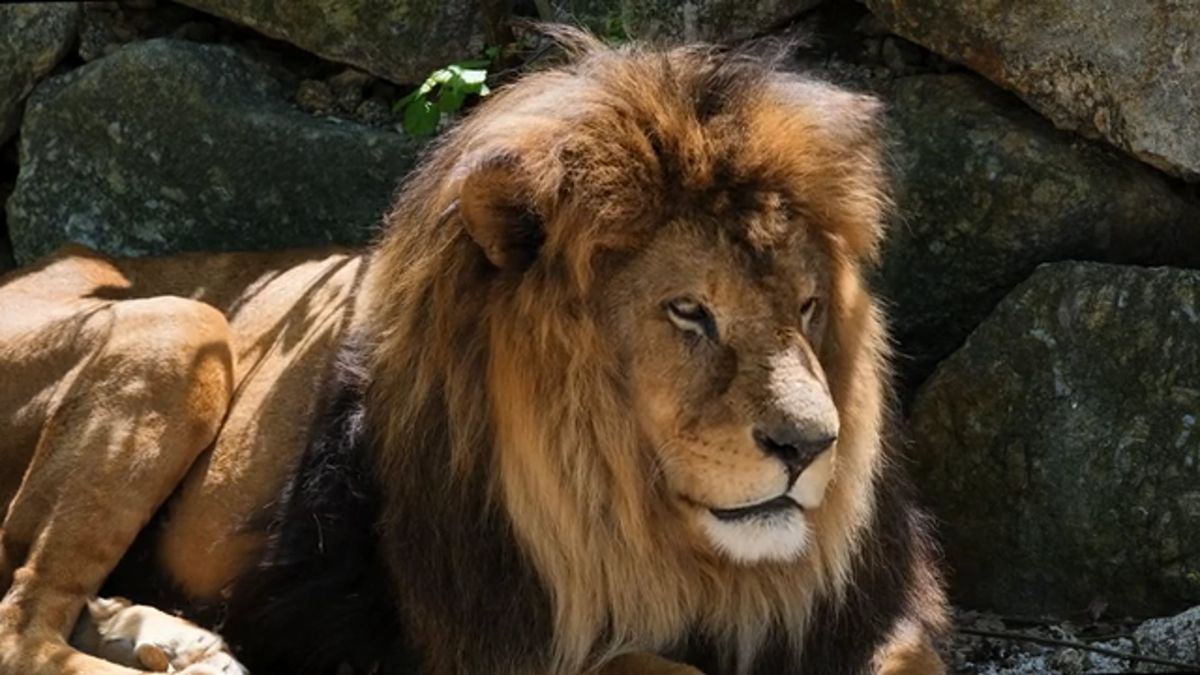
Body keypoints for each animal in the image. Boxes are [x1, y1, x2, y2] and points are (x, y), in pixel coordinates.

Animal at [0, 30, 947, 675]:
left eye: (808, 306)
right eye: (690, 311)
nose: (811, 446)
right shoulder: (467, 637)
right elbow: (652, 663)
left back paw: (162, 632)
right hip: (177, 323)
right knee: (22, 625)